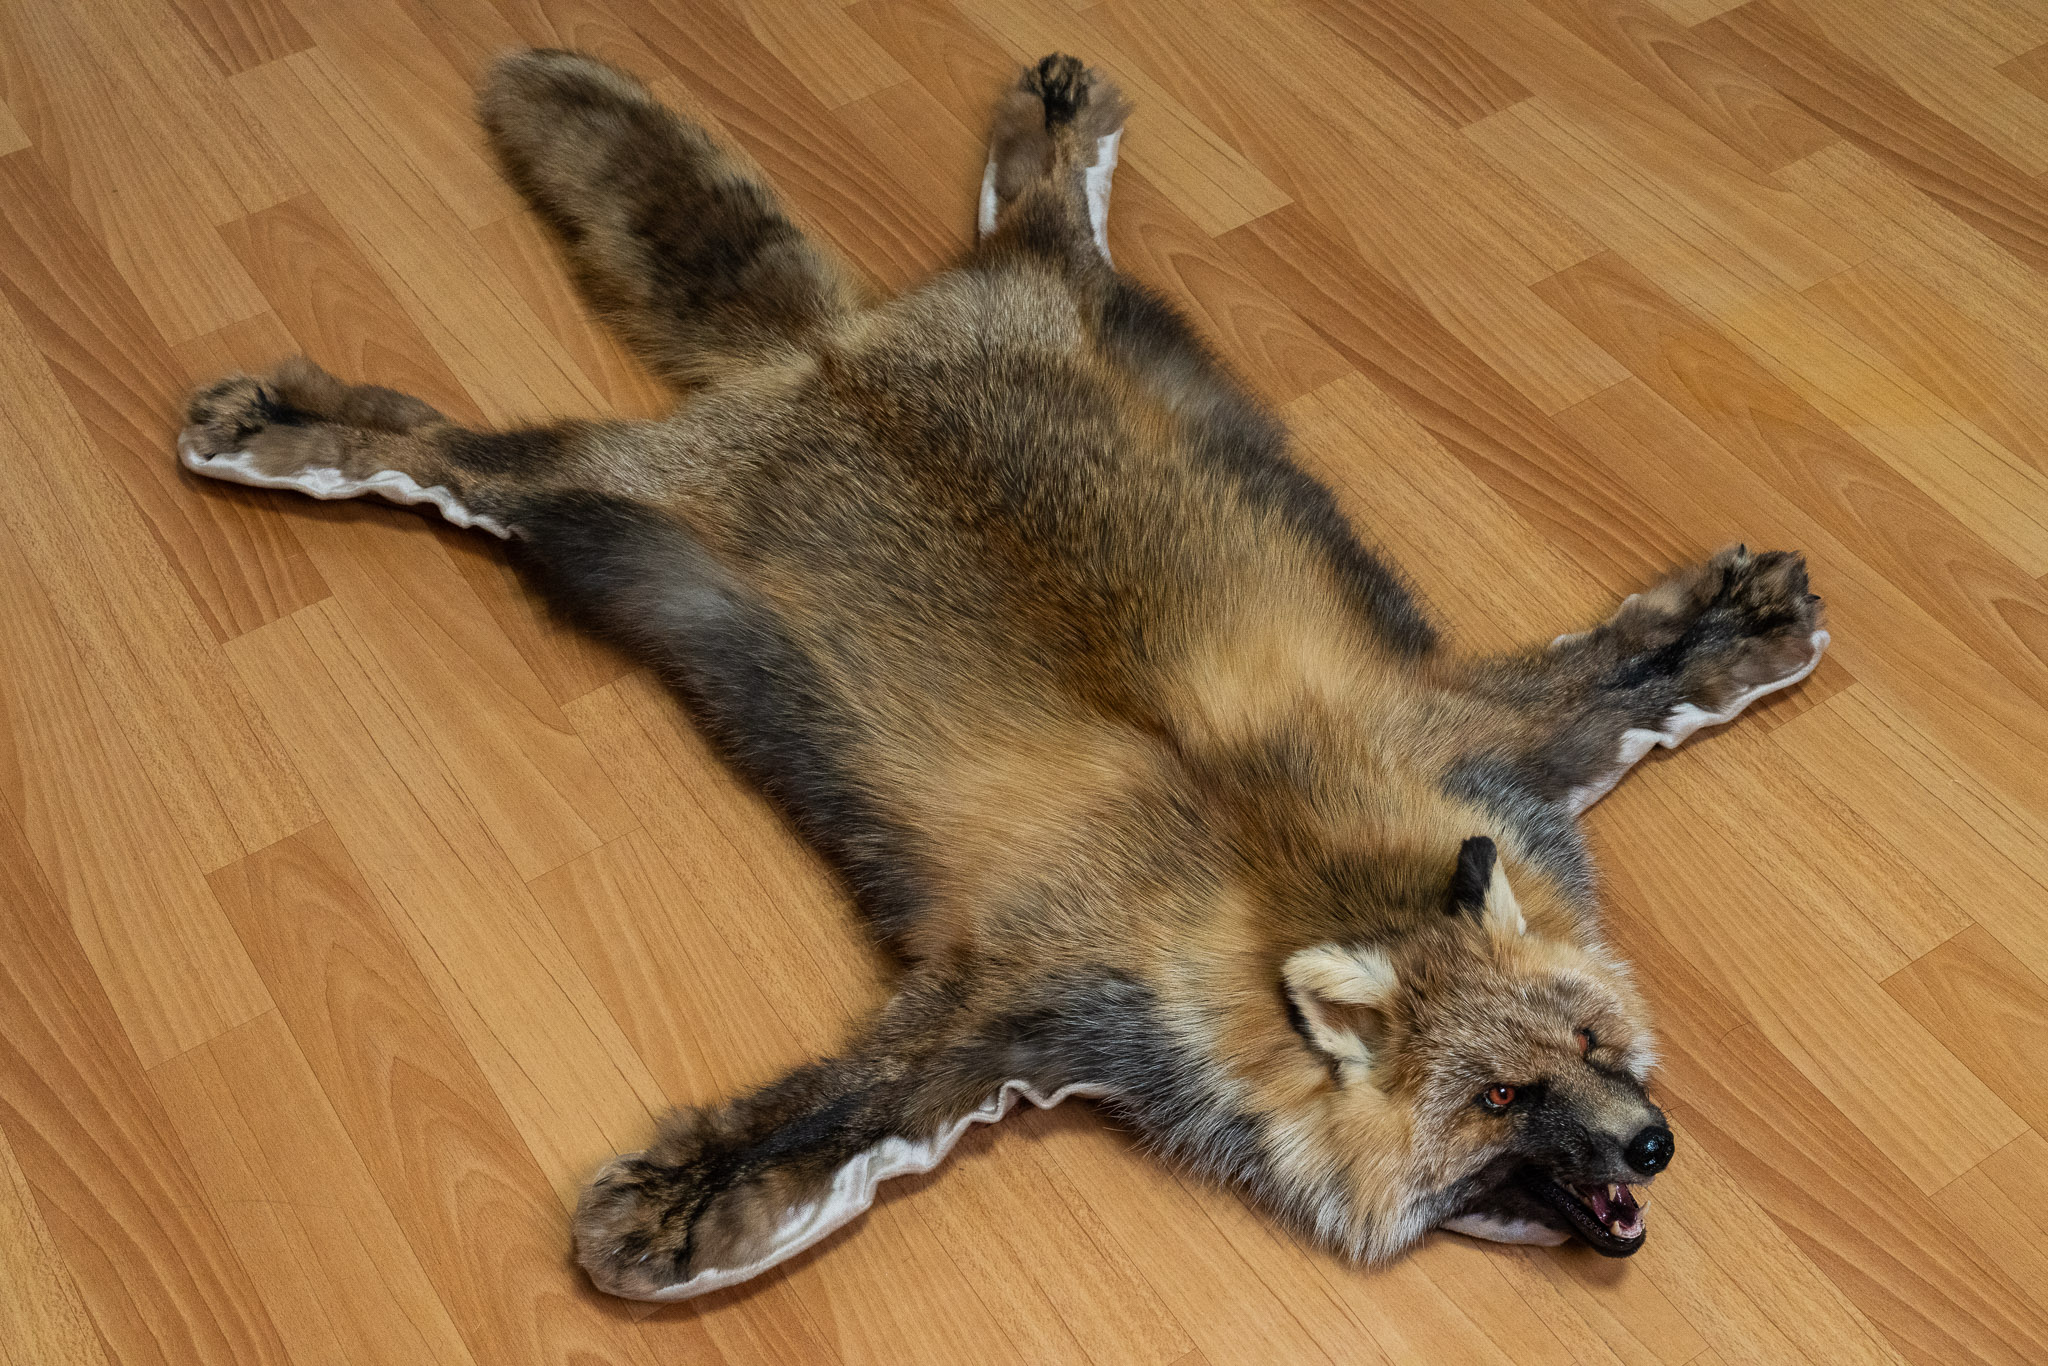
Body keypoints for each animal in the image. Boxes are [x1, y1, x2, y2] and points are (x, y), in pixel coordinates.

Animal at [176, 50, 1829, 1301]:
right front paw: (681, 1193)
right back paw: (287, 426)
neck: (1281, 857)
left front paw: (1732, 625)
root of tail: (825, 350)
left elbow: (1631, 670)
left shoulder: (1475, 736)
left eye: (1590, 1042)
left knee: (1042, 229)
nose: (1651, 1143)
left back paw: (1048, 125)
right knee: (450, 452)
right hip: (595, 510)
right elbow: (828, 1110)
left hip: (1091, 317)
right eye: (1498, 1098)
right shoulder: (1016, 995)